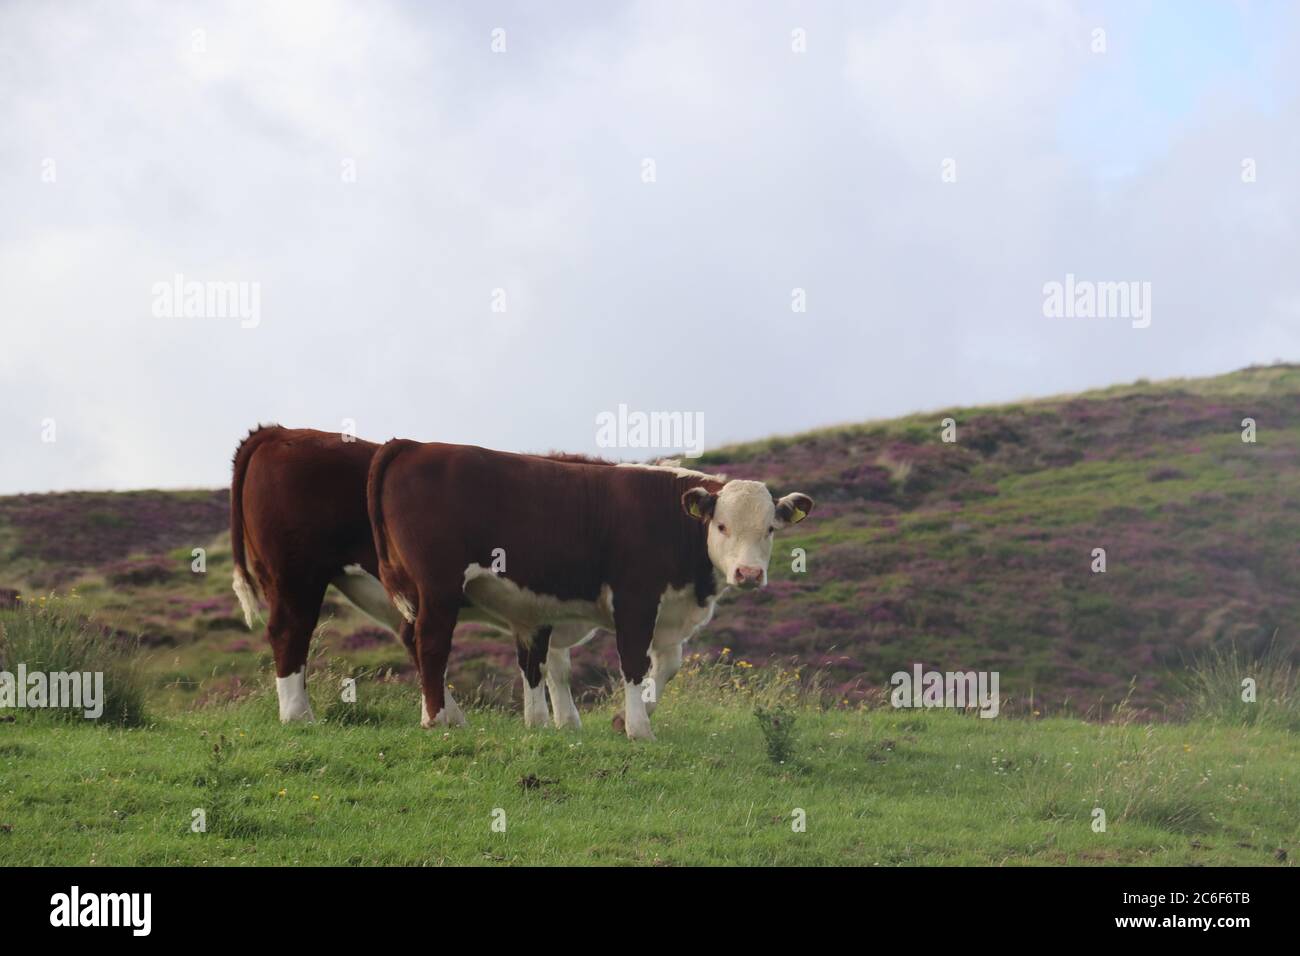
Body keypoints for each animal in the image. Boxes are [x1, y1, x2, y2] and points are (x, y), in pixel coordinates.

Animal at [367, 440, 814, 740]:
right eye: (721, 526)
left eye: (770, 529)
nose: (748, 573)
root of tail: (414, 445)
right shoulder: (635, 599)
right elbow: (632, 662)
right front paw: (638, 729)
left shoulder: (669, 611)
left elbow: (667, 666)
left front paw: (623, 718)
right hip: (438, 588)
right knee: (431, 645)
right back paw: (437, 720)